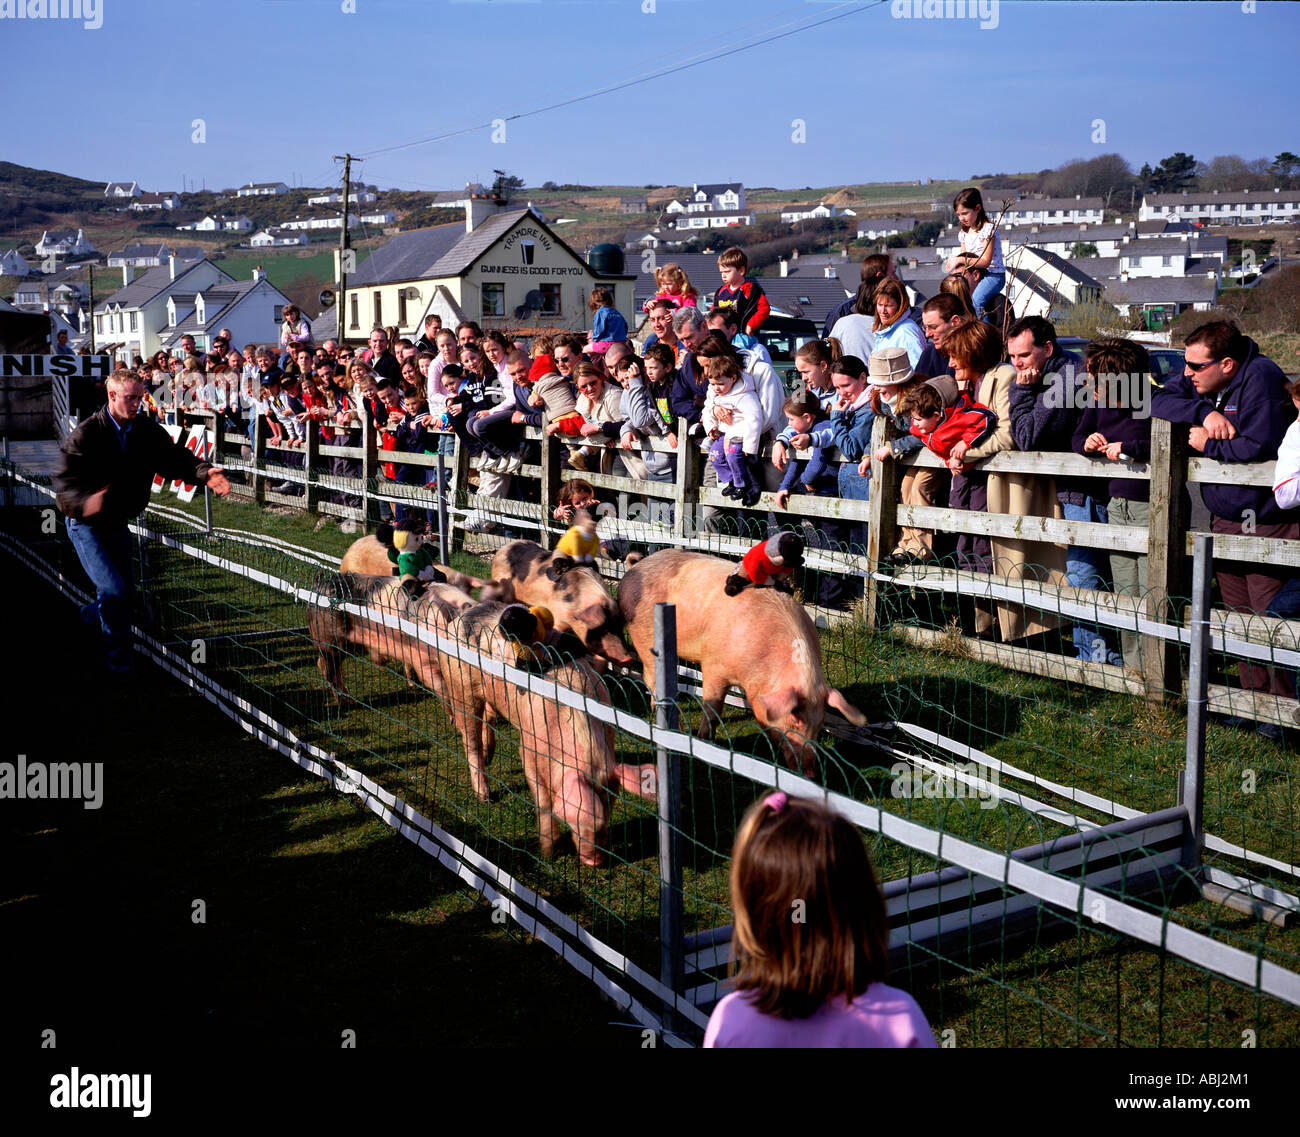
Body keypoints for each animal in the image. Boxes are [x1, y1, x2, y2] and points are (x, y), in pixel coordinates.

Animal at [308, 572, 473, 708]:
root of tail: (318, 584)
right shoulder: (421, 657)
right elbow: (438, 685)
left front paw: (412, 683)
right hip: (329, 639)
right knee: (329, 671)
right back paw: (347, 703)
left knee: (323, 665)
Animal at [441, 602, 656, 864]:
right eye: (579, 819)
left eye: (612, 803)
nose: (597, 860)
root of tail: (463, 613)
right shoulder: (529, 746)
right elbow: (542, 799)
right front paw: (549, 853)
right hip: (460, 684)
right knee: (469, 735)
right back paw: (485, 796)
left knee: (487, 718)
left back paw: (489, 756)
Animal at [617, 549, 866, 775]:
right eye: (794, 720)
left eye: (820, 722)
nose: (809, 774)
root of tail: (635, 567)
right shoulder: (713, 665)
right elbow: (713, 708)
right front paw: (705, 742)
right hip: (643, 637)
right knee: (651, 679)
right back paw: (674, 728)